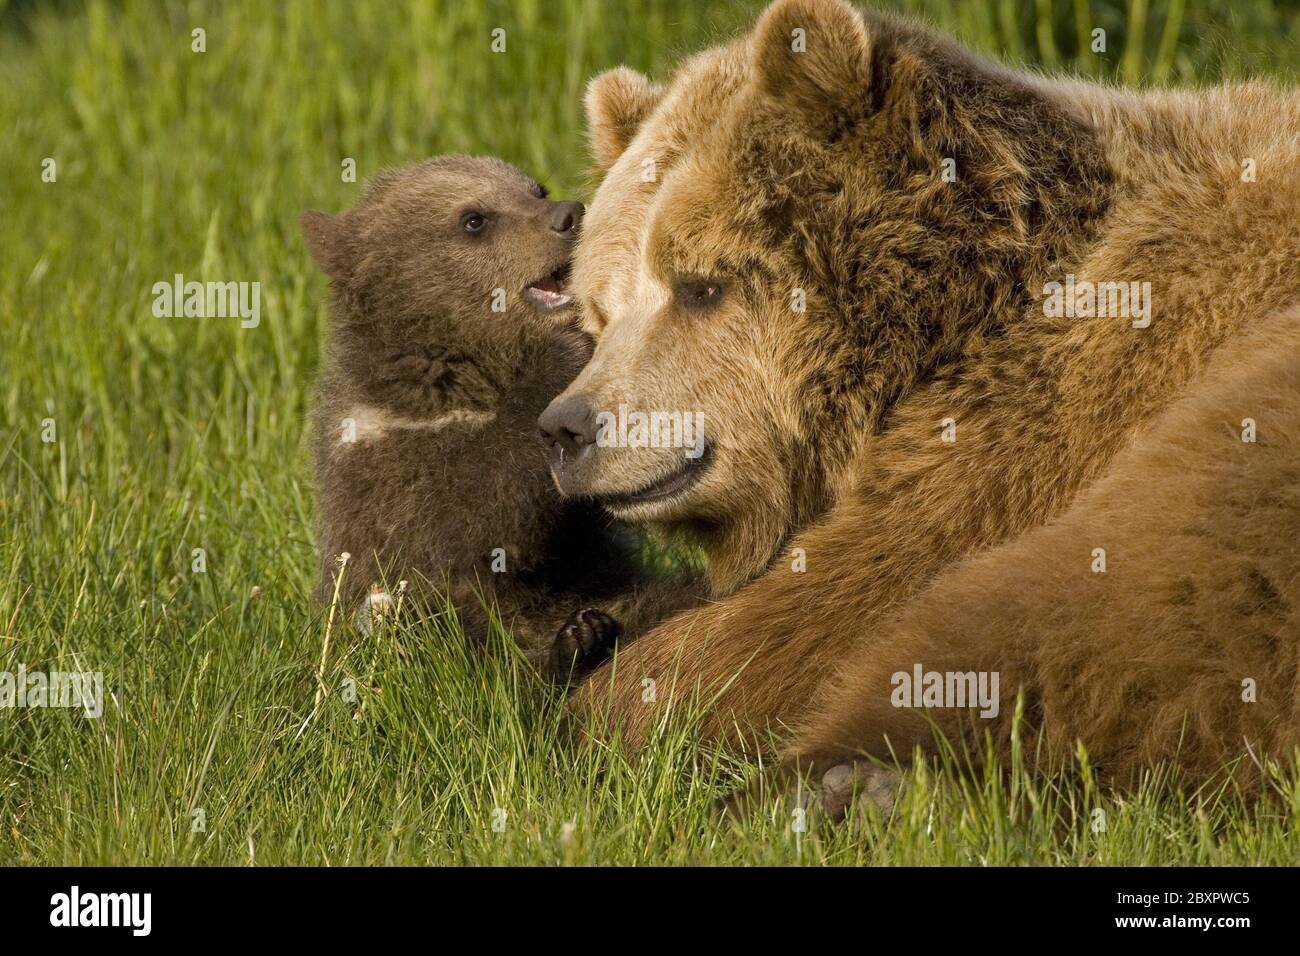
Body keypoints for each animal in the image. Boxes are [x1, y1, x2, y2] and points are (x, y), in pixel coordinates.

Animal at [302, 155, 702, 679]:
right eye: (474, 219)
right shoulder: (382, 463)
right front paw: (562, 353)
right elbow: (474, 518)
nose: (570, 214)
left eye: (535, 189)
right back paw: (577, 643)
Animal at [536, 0, 1300, 791]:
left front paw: (616, 692)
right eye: (600, 310)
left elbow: (824, 610)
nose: (567, 428)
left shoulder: (1051, 413)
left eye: (700, 287)